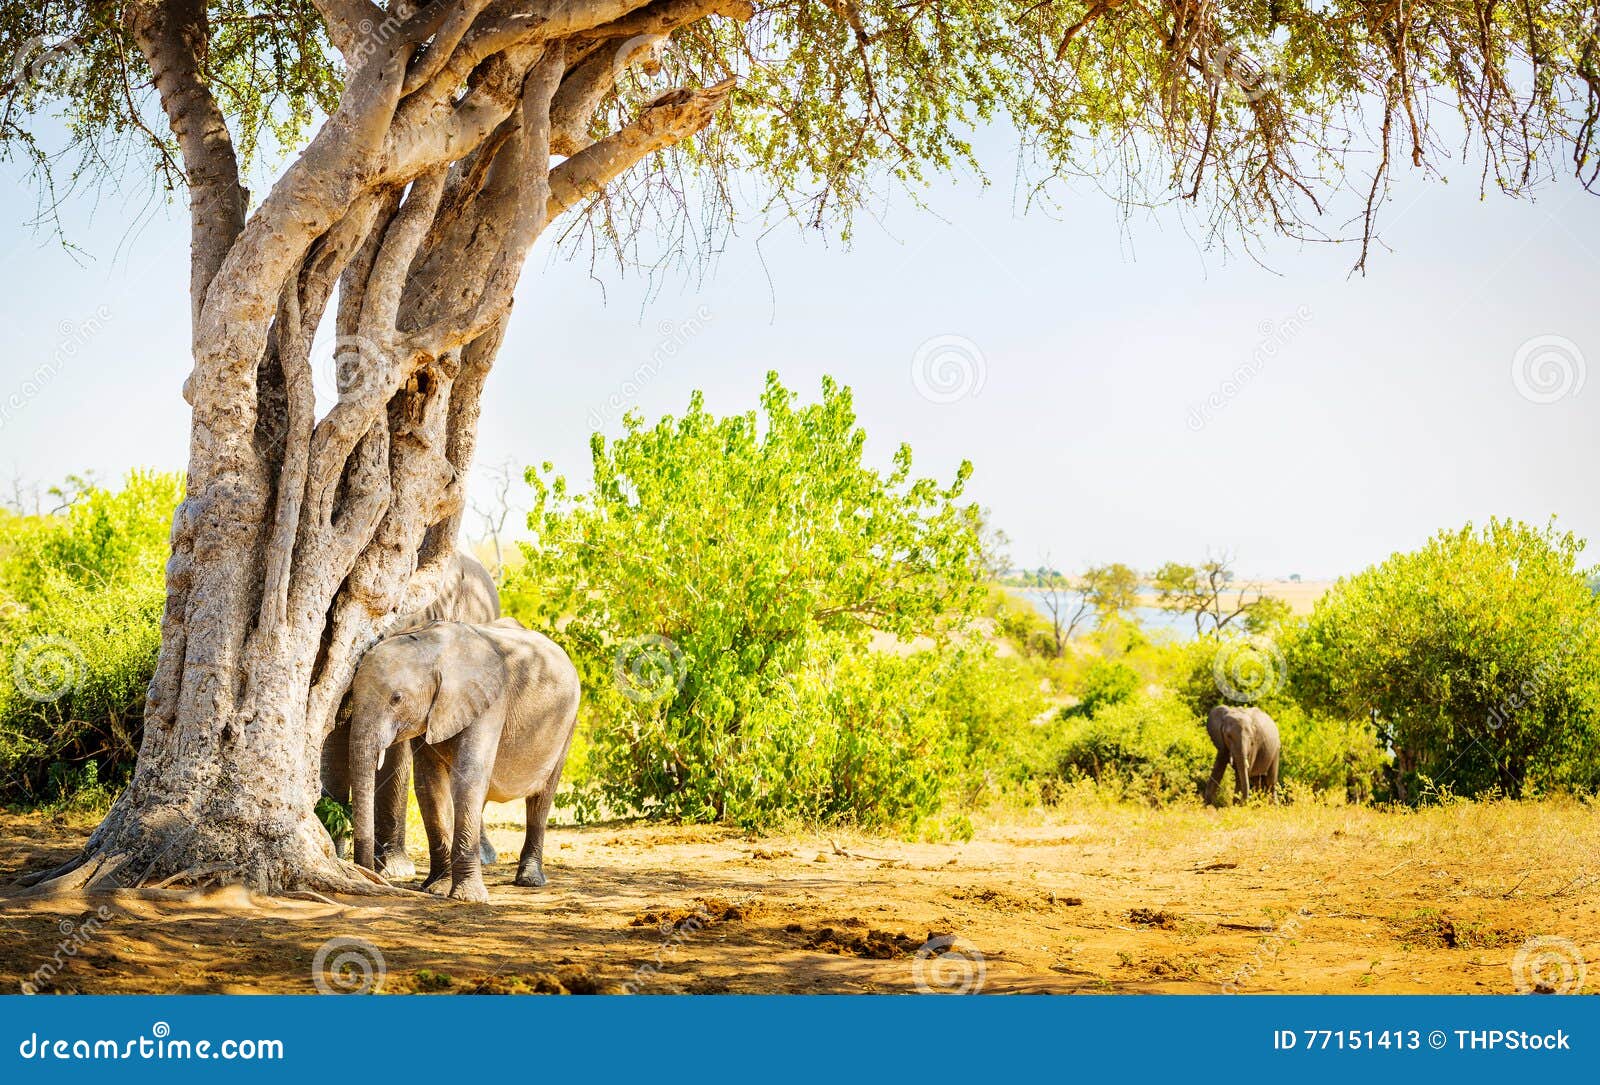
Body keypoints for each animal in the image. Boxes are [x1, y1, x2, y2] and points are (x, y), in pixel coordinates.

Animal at [346, 617, 581, 902]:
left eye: (396, 698)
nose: (369, 874)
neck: (434, 647)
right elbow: (429, 784)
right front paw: (437, 888)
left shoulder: (489, 702)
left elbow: (468, 775)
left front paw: (467, 898)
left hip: (567, 725)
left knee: (541, 800)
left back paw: (530, 880)